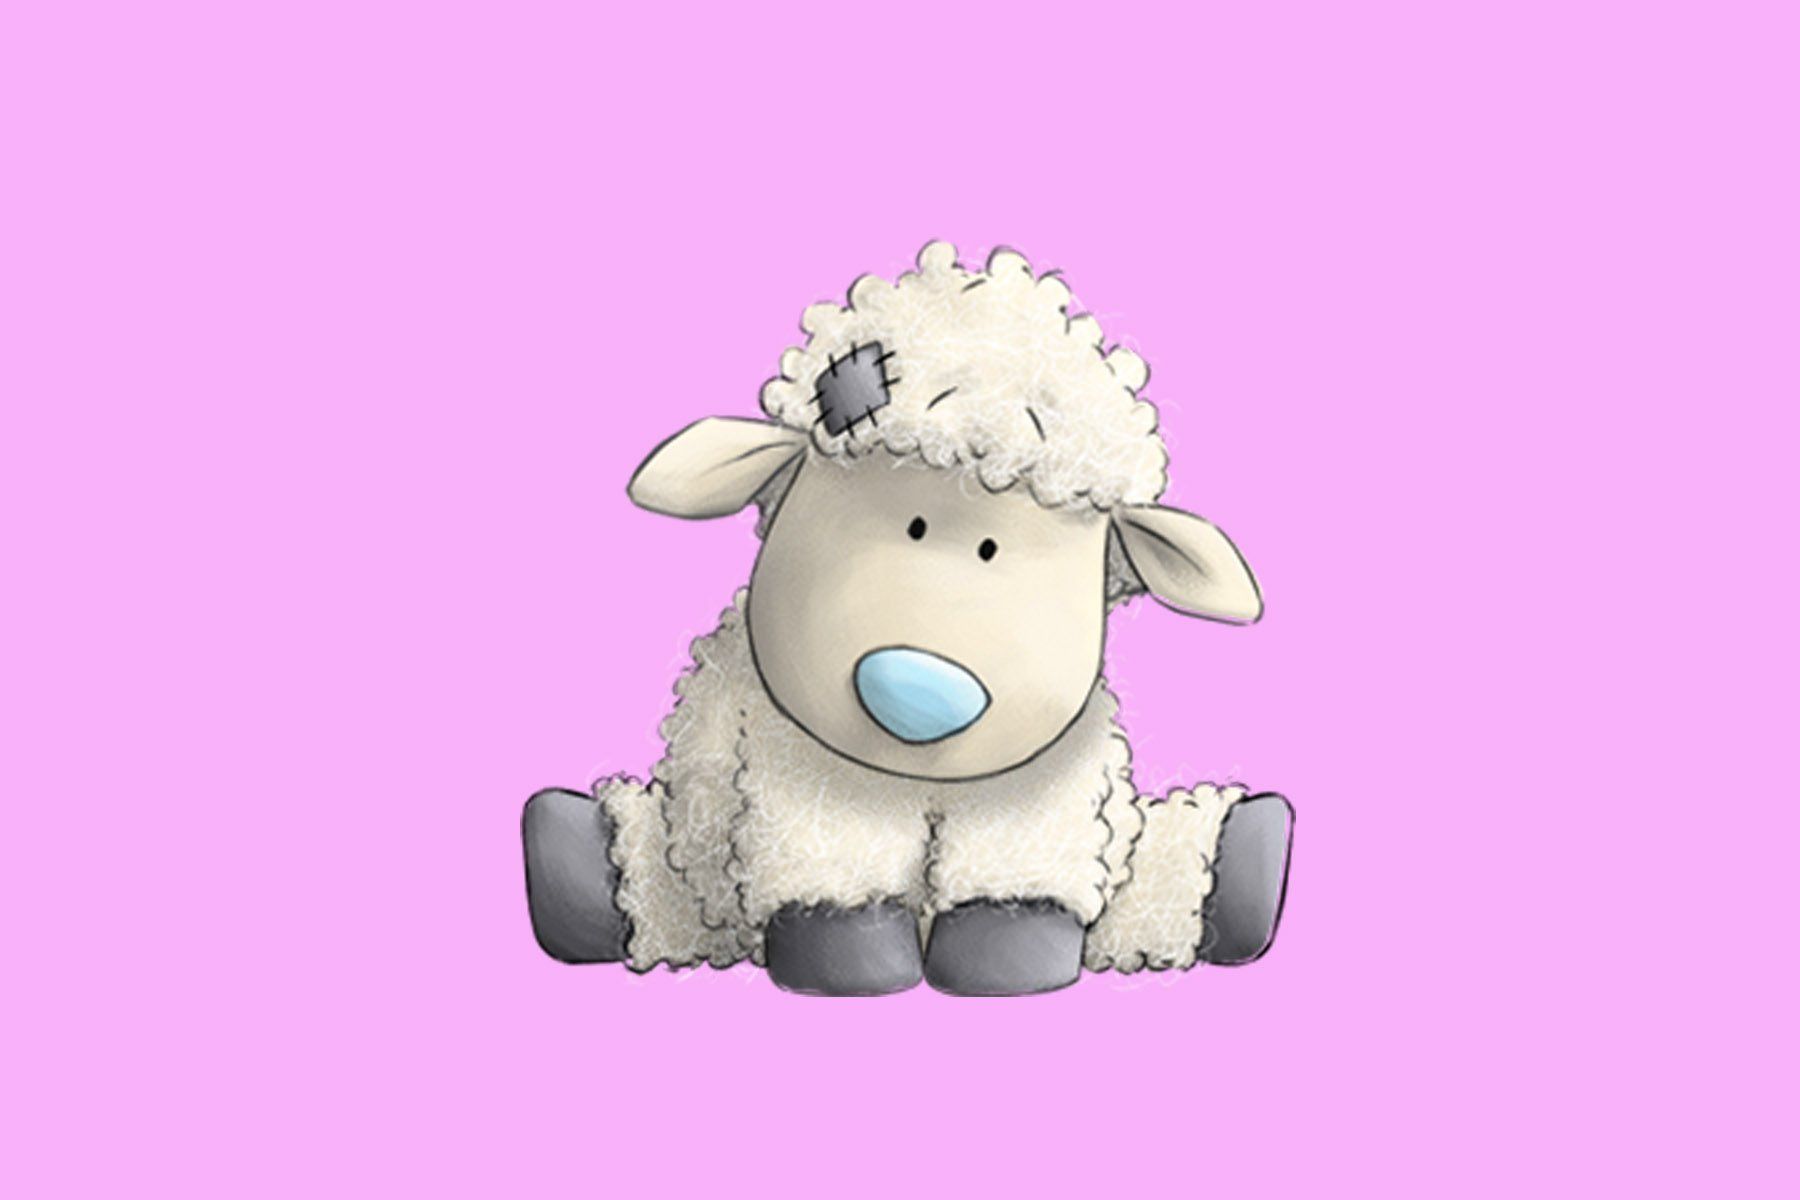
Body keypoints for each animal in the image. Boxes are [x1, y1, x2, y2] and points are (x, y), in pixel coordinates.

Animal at [521, 241, 1293, 995]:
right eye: (913, 525)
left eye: (991, 548)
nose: (920, 685)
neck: (919, 779)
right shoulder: (805, 792)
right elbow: (832, 880)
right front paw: (847, 959)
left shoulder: (1036, 806)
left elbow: (1015, 882)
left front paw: (1009, 954)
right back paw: (565, 847)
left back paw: (1252, 845)